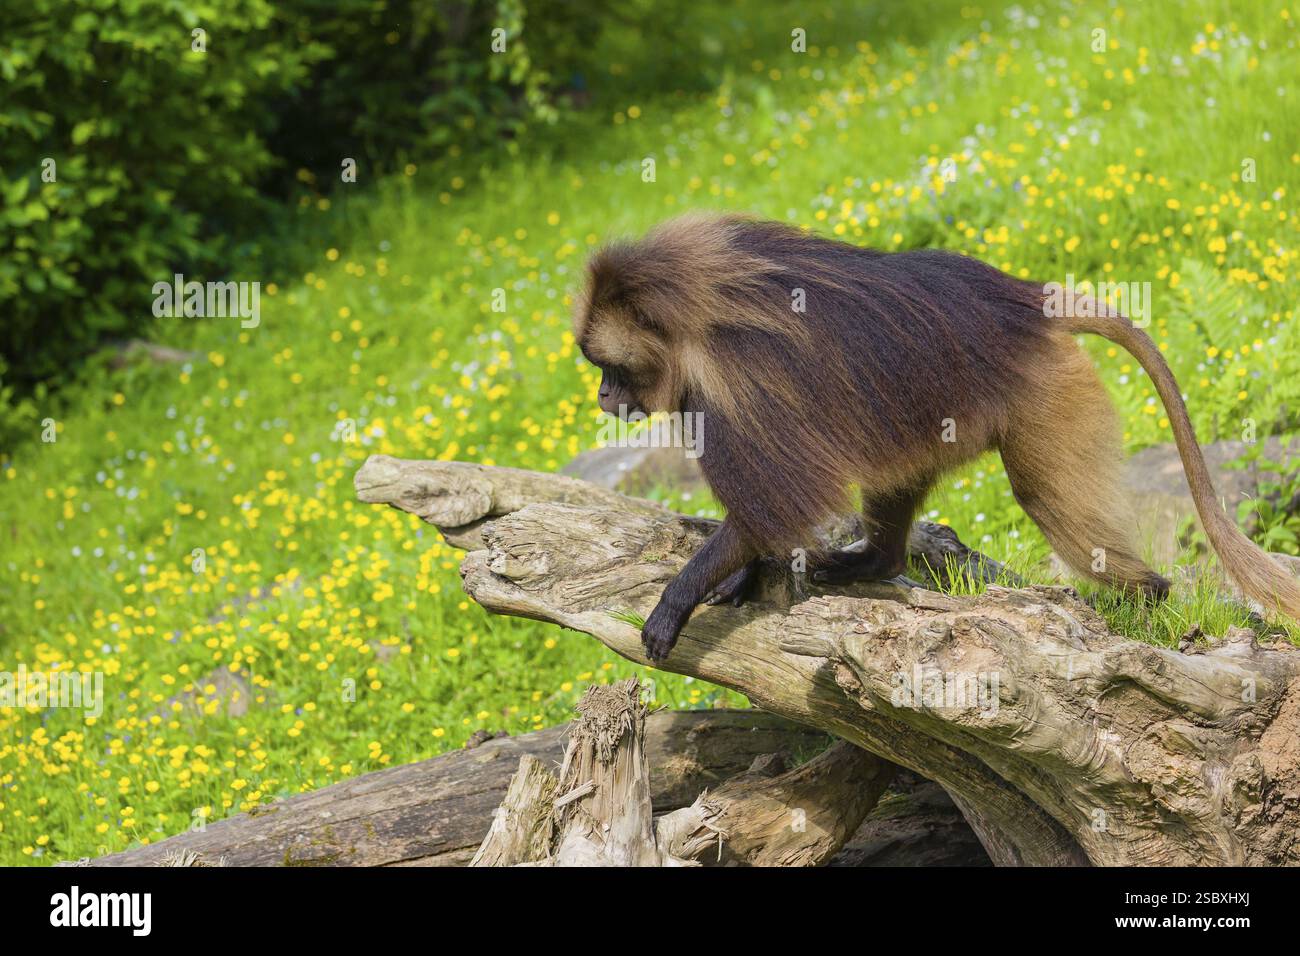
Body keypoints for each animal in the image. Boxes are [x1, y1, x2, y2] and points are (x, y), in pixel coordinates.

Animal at [572, 212, 1300, 662]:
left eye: (609, 366)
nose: (603, 397)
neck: (691, 315)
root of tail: (1026, 302)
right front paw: (743, 574)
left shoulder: (735, 382)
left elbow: (776, 503)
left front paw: (680, 598)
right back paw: (875, 564)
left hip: (1048, 394)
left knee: (1050, 503)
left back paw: (1147, 598)